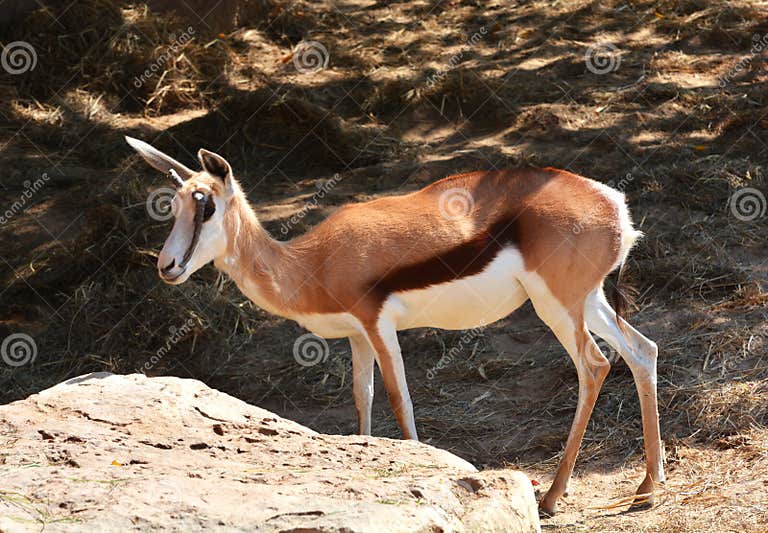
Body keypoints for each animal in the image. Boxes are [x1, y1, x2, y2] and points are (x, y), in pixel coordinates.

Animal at [126, 136, 664, 515]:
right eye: (172, 205)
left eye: (207, 204)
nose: (167, 266)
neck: (312, 262)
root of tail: (613, 204)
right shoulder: (357, 336)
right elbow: (362, 399)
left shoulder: (378, 326)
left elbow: (398, 400)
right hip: (587, 301)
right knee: (643, 351)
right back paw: (646, 488)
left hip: (556, 306)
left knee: (595, 365)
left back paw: (553, 497)